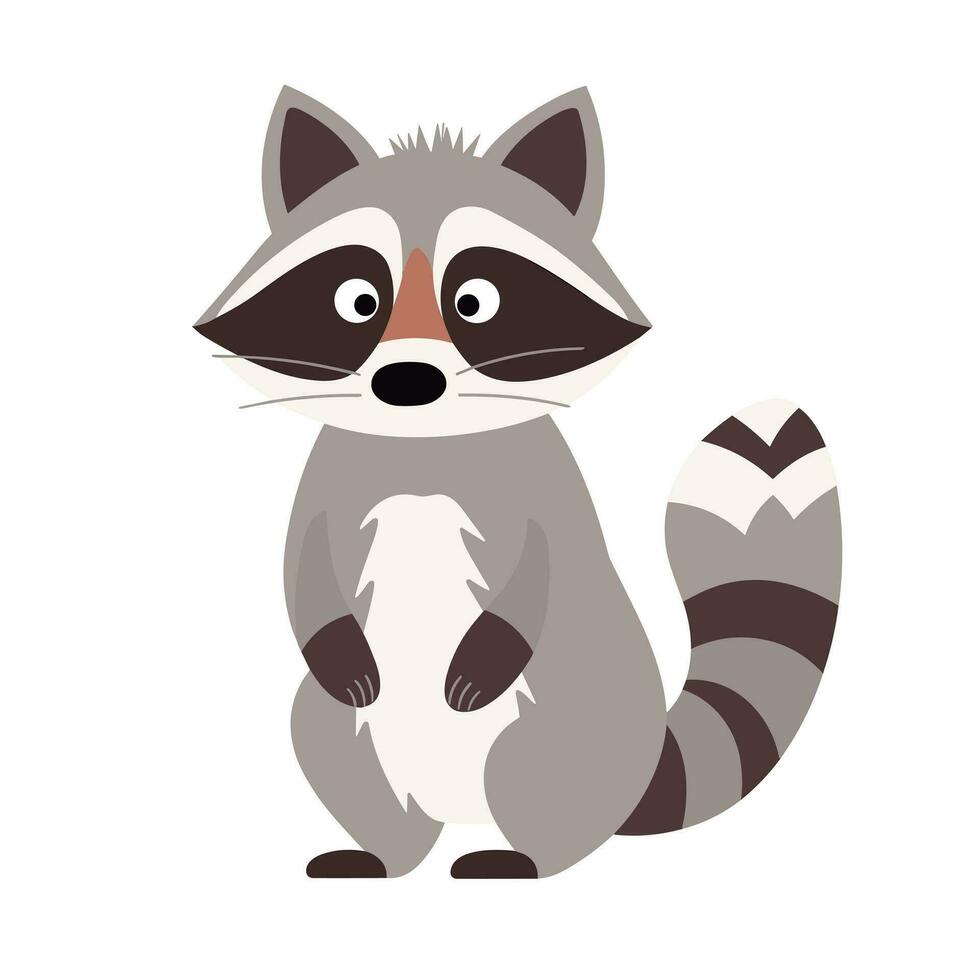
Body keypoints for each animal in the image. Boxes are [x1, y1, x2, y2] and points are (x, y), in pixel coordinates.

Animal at [194, 86, 841, 878]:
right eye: (357, 300)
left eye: (476, 300)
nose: (408, 382)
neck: (423, 450)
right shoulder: (332, 478)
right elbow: (303, 564)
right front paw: (325, 631)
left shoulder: (540, 482)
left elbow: (547, 565)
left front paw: (502, 633)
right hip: (353, 731)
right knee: (332, 734)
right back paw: (383, 854)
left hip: (561, 728)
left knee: (540, 779)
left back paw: (523, 857)